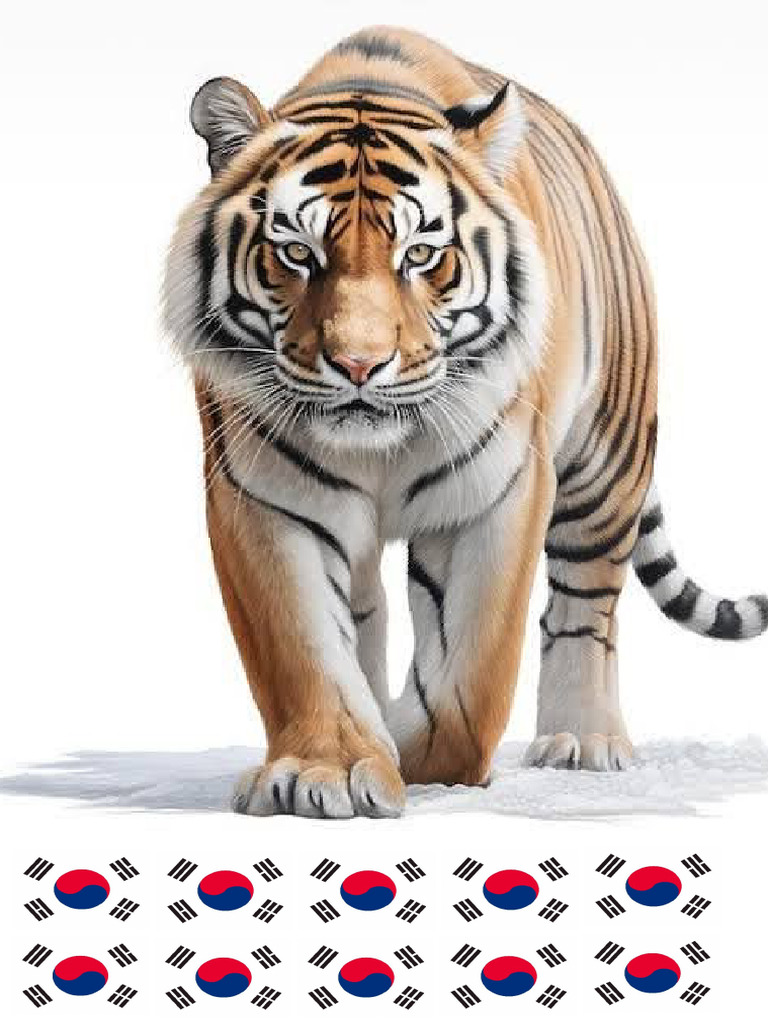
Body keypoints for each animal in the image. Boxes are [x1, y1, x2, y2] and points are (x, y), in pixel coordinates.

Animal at [163, 26, 767, 818]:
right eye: (297, 251)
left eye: (421, 254)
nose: (358, 365)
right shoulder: (266, 499)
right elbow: (305, 651)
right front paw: (329, 770)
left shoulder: (495, 492)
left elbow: (475, 673)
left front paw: (418, 759)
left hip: (606, 463)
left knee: (585, 607)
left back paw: (584, 742)